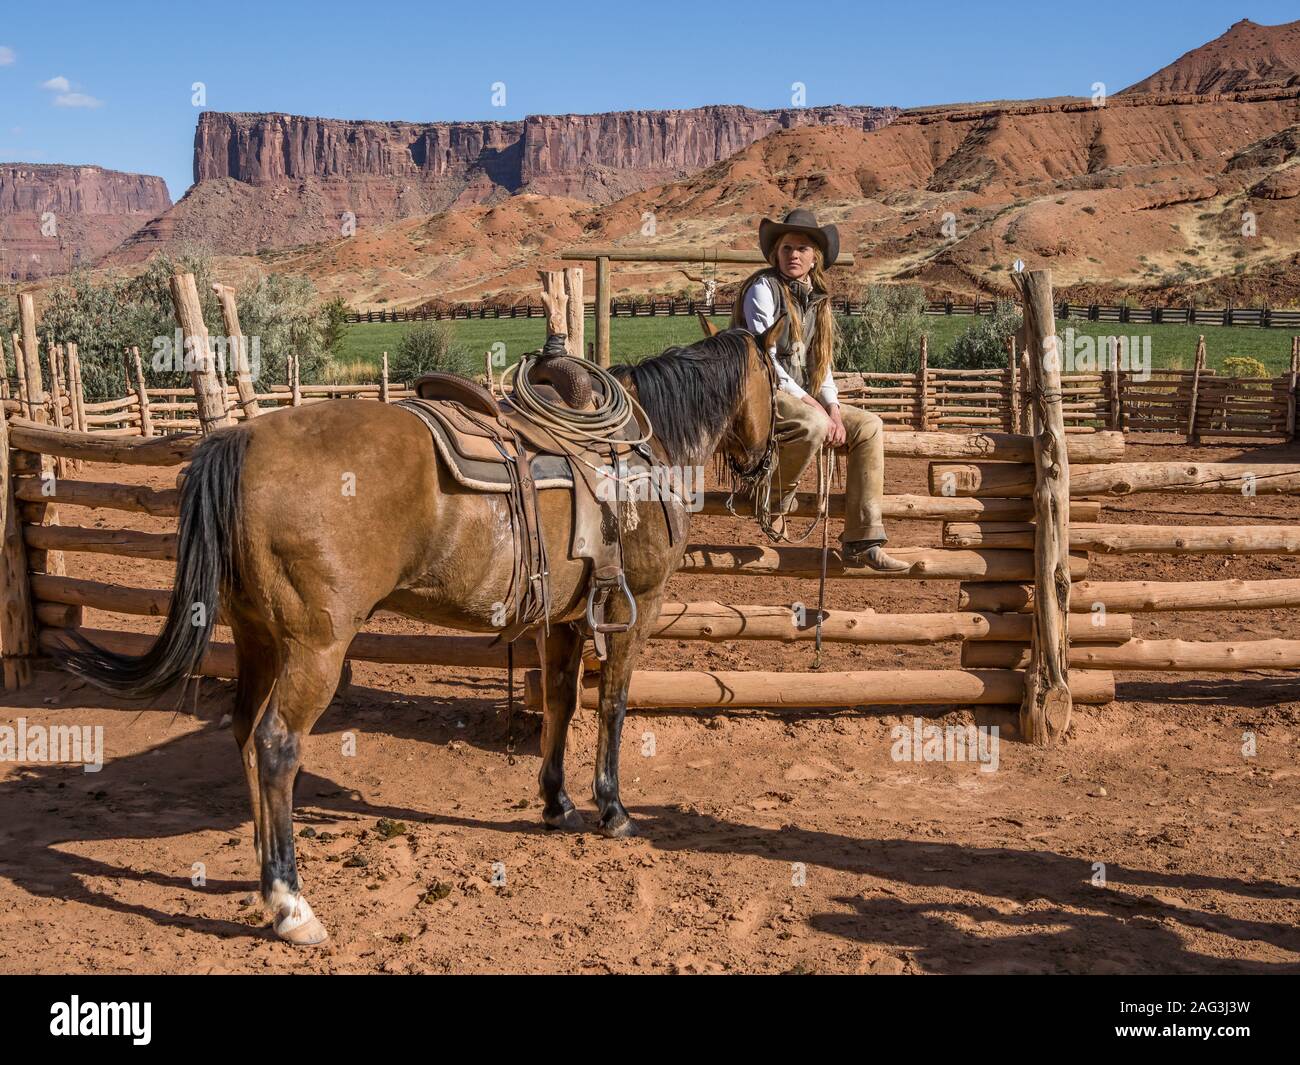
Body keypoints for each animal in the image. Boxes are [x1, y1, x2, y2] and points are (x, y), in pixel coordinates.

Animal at [56, 324, 779, 945]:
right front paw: (613, 809)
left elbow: (562, 705)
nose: (765, 464)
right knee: (276, 745)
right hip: (316, 648)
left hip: (259, 636)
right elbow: (614, 705)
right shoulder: (638, 606)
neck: (646, 448)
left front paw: (557, 804)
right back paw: (291, 905)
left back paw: (264, 873)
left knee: (242, 730)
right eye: (779, 376)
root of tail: (241, 441)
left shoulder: (566, 618)